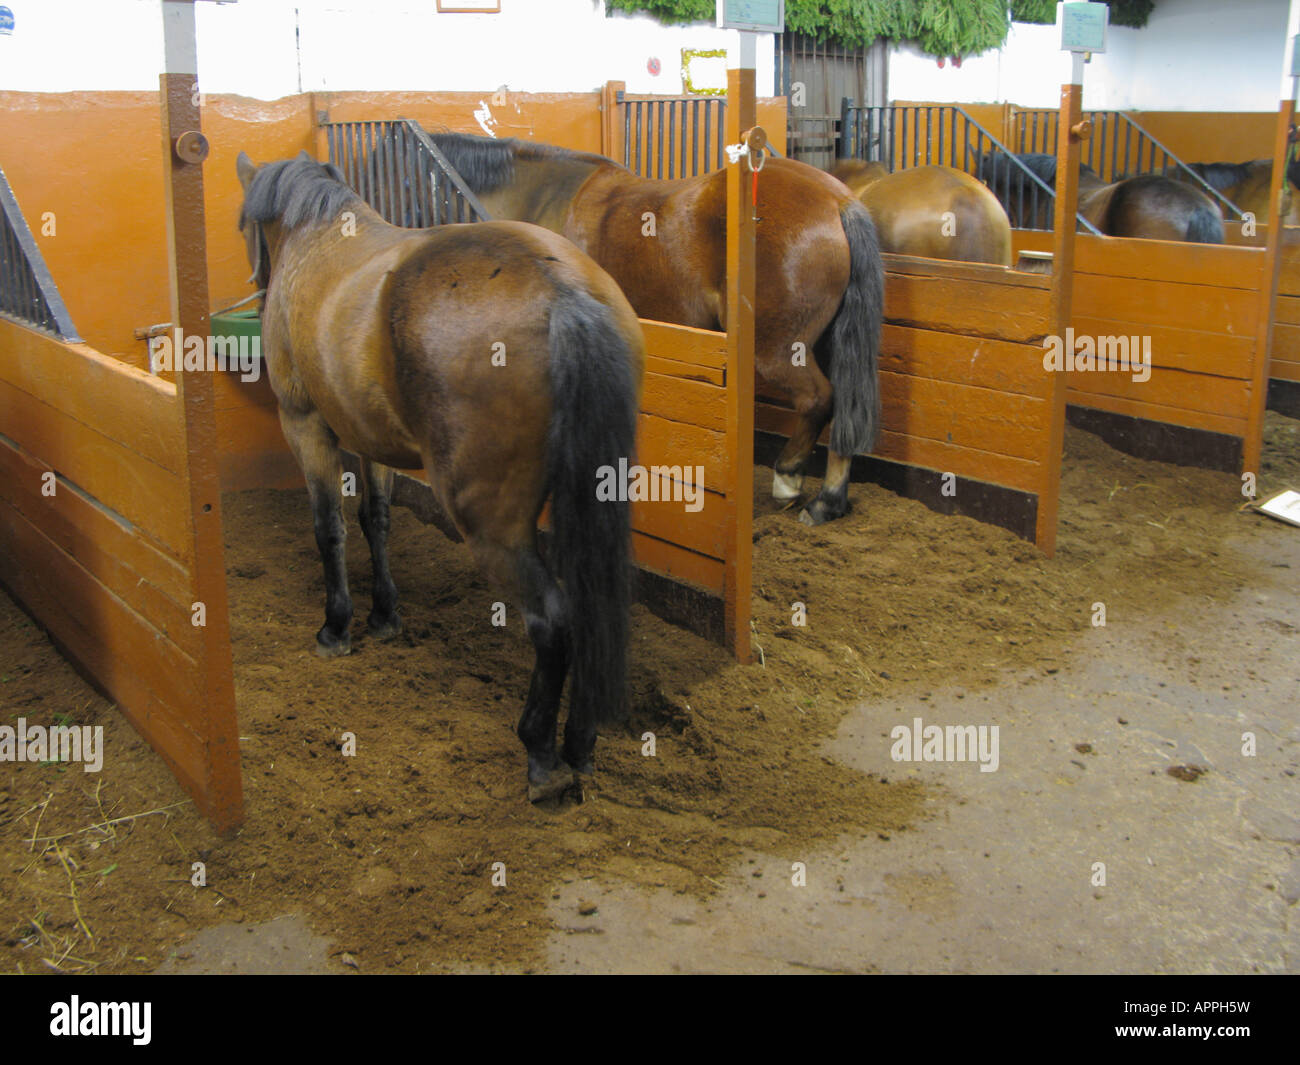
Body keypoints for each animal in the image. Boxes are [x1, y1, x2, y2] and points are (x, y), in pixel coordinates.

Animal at [235, 151, 644, 803]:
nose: (253, 293)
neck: (316, 239)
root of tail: (564, 291)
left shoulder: (306, 427)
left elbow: (329, 529)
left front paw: (336, 626)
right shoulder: (367, 440)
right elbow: (374, 520)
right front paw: (384, 616)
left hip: (490, 523)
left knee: (552, 620)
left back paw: (540, 749)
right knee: (586, 607)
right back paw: (579, 746)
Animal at [424, 131, 884, 526]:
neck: (542, 201)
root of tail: (837, 200)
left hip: (777, 350)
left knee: (817, 399)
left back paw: (791, 478)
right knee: (845, 404)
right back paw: (829, 501)